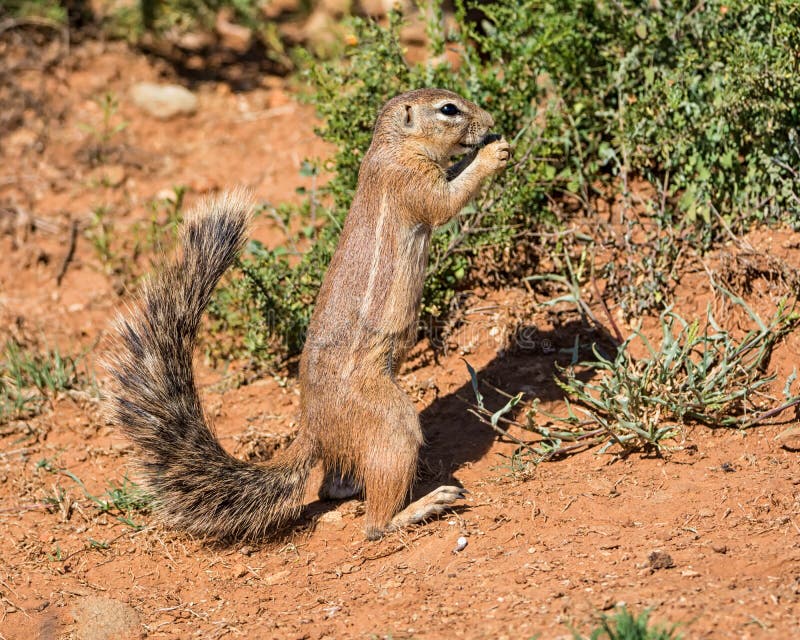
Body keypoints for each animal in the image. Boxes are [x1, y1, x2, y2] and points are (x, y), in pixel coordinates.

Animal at [105, 88, 510, 541]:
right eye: (448, 109)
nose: (491, 120)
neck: (392, 147)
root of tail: (313, 426)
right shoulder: (410, 181)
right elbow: (446, 202)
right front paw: (493, 153)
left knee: (334, 487)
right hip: (393, 421)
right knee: (374, 523)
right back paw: (421, 506)